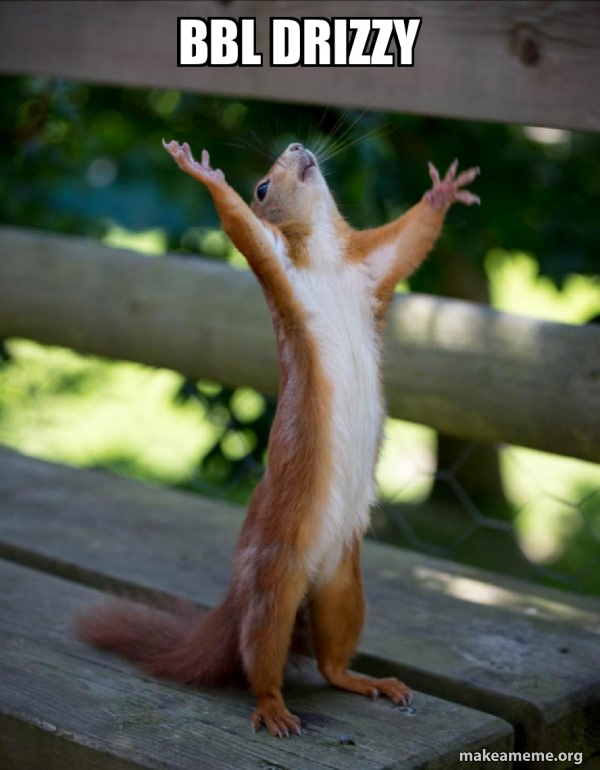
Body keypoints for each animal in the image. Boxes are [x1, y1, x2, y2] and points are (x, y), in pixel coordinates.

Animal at [77, 138, 480, 738]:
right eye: (262, 187)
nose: (296, 147)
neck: (327, 257)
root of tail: (239, 595)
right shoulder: (277, 266)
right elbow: (240, 226)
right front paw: (204, 174)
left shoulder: (372, 267)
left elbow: (409, 240)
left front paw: (443, 192)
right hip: (273, 585)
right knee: (260, 658)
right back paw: (273, 708)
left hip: (344, 586)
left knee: (332, 661)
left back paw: (368, 681)